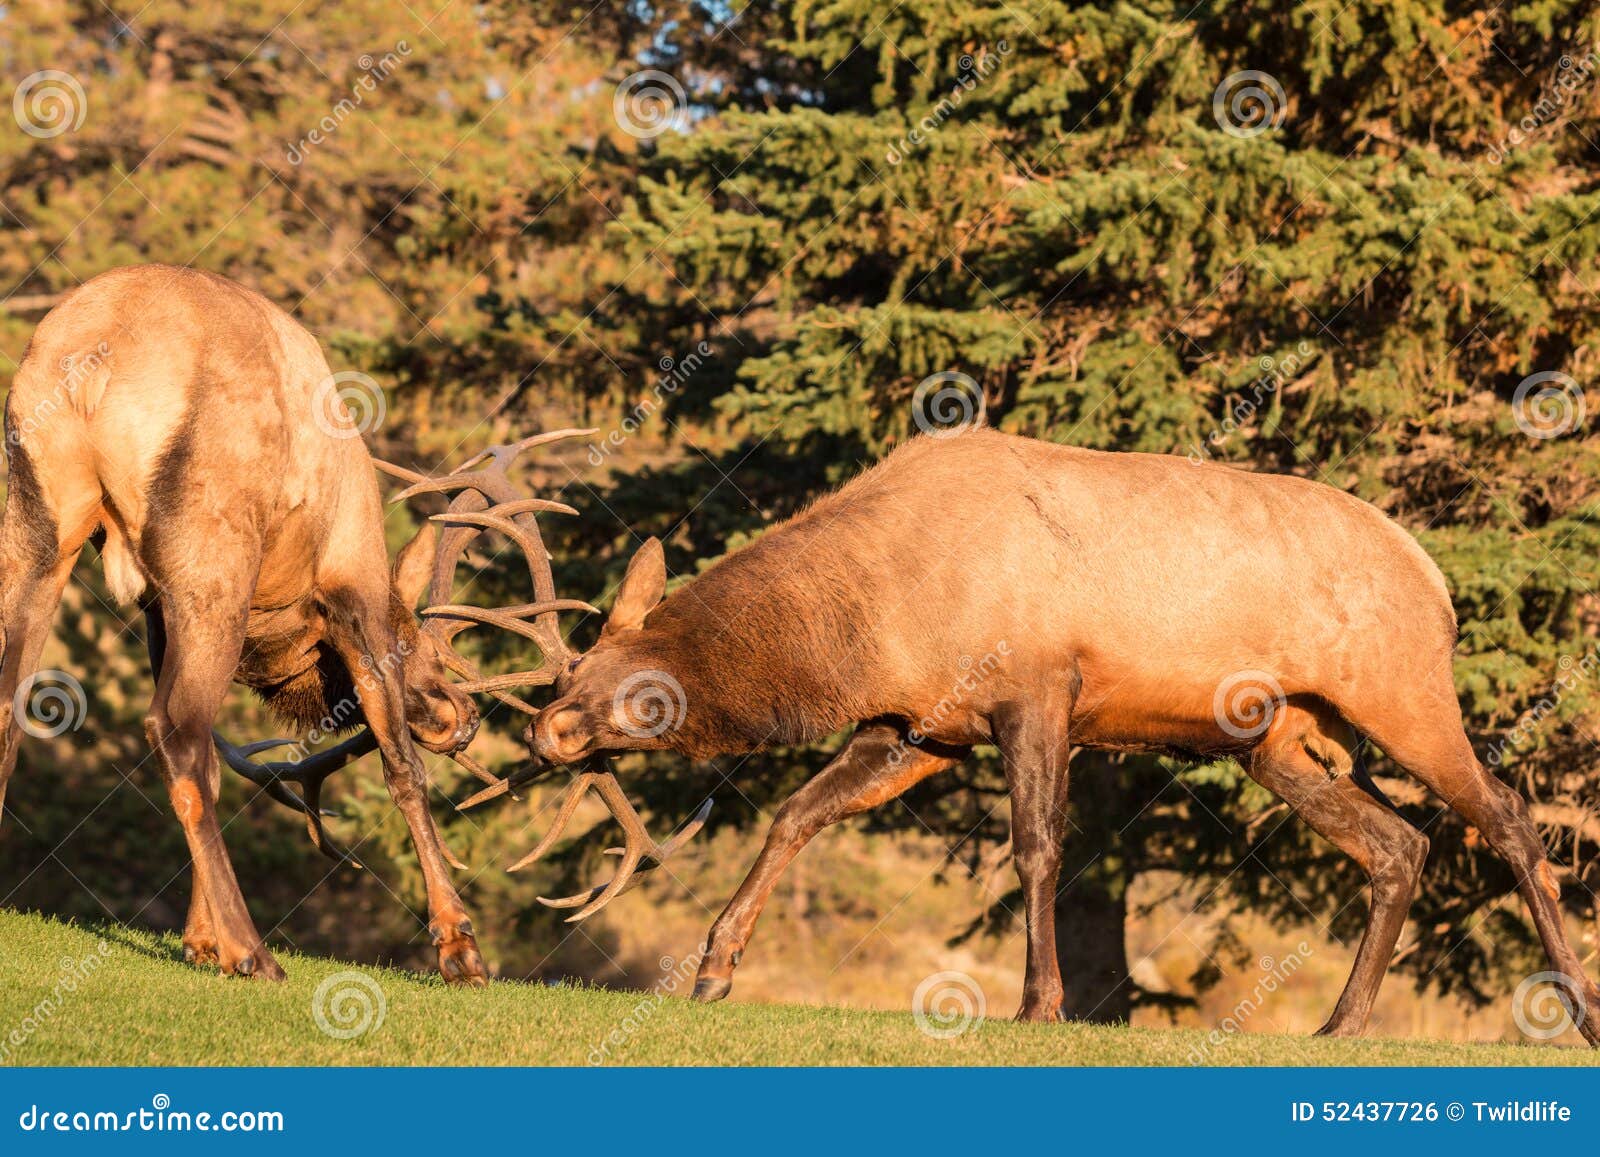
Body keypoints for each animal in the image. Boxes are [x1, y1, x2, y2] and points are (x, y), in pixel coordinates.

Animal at [0, 263, 589, 984]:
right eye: (419, 646)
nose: (463, 716)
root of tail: (90, 367)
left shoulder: (155, 607)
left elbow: (221, 769)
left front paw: (198, 939)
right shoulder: (351, 585)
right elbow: (401, 766)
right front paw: (459, 945)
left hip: (39, 523)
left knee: (15, 705)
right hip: (213, 553)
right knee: (175, 728)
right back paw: (255, 951)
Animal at [476, 425, 1598, 1042]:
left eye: (633, 690)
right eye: (577, 665)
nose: (547, 728)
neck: (874, 618)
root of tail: (1435, 577)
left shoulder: (1037, 689)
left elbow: (1037, 846)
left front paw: (1039, 1001)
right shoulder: (920, 726)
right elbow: (796, 812)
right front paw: (714, 968)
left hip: (1402, 688)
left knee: (1506, 814)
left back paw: (1577, 1005)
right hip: (1281, 739)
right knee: (1397, 842)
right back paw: (1341, 1017)